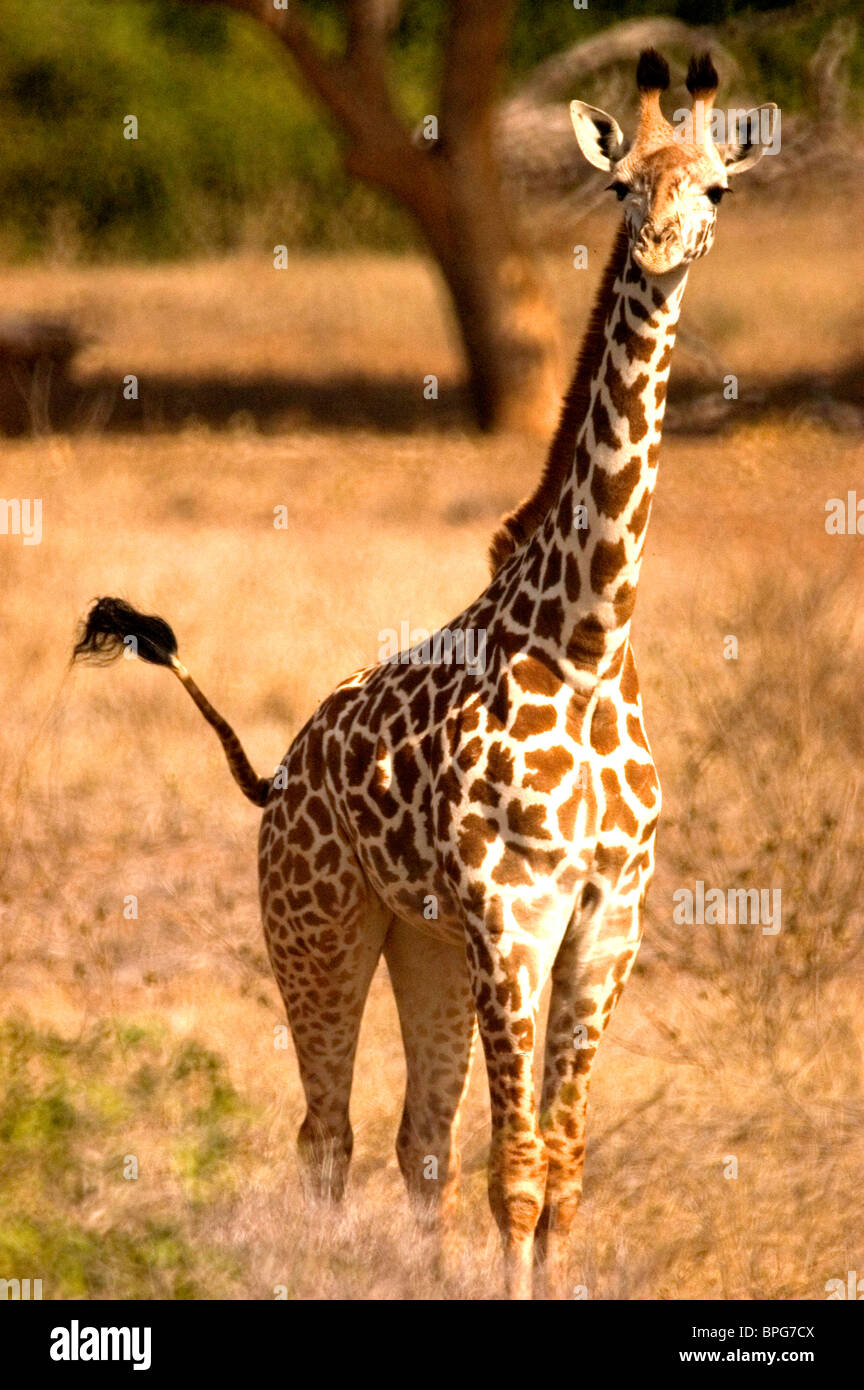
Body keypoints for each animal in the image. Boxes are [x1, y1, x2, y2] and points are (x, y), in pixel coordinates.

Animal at [72, 51, 775, 1299]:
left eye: (717, 189)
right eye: (620, 187)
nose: (656, 249)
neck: (589, 638)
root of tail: (280, 774)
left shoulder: (605, 925)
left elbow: (561, 1176)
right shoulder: (515, 917)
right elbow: (520, 1176)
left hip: (425, 944)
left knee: (418, 1141)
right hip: (319, 926)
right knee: (329, 1133)